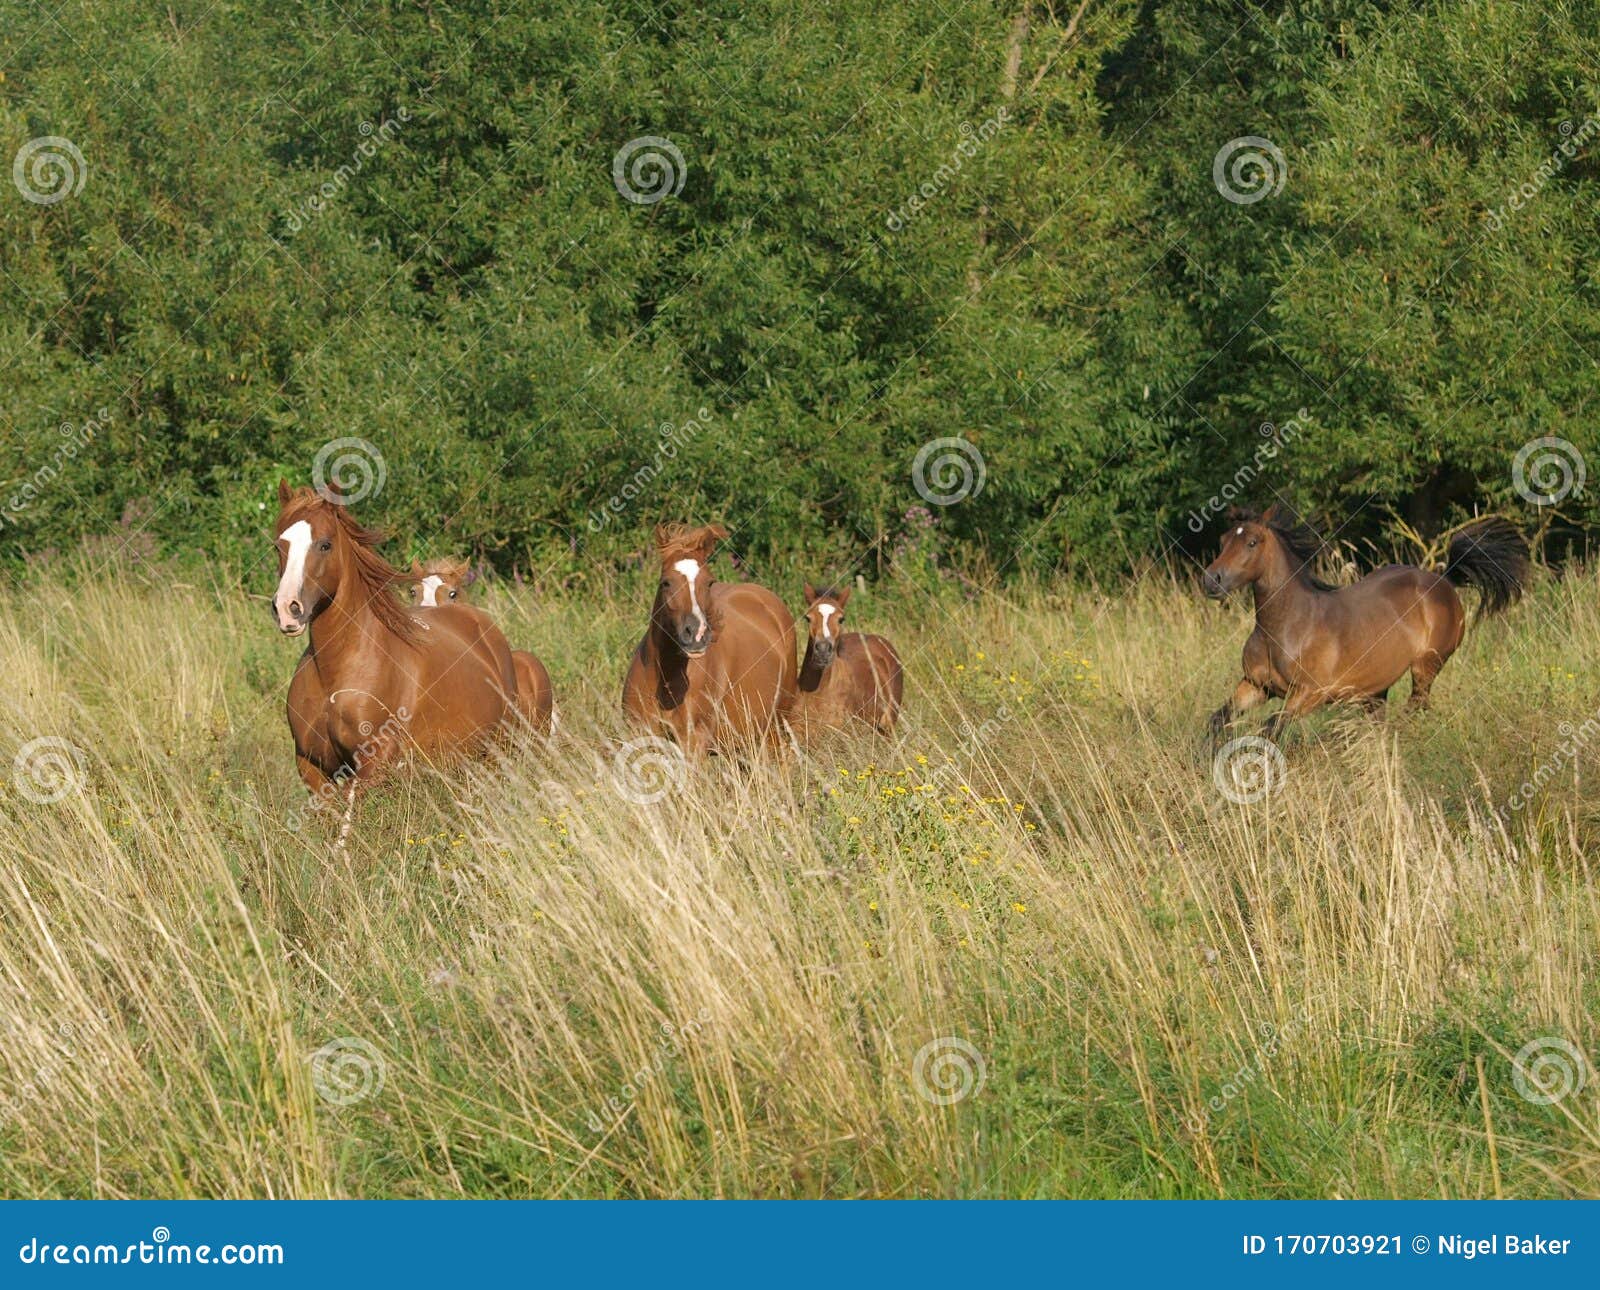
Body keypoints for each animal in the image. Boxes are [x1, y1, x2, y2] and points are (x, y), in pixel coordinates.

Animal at [271, 480, 520, 841]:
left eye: (325, 544)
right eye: (279, 545)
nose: (288, 609)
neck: (336, 670)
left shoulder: (376, 762)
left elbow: (348, 829)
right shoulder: (312, 765)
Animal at [621, 523, 797, 757]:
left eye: (709, 582)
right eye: (666, 582)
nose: (696, 634)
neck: (666, 679)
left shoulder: (692, 742)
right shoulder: (638, 737)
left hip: (775, 728)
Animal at [1202, 506, 1529, 742]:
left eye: (1252, 542)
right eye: (1222, 541)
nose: (1211, 580)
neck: (1286, 629)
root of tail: (1445, 580)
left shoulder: (1309, 694)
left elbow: (1270, 728)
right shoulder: (1256, 686)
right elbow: (1218, 720)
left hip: (1425, 667)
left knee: (1416, 706)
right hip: (1376, 690)